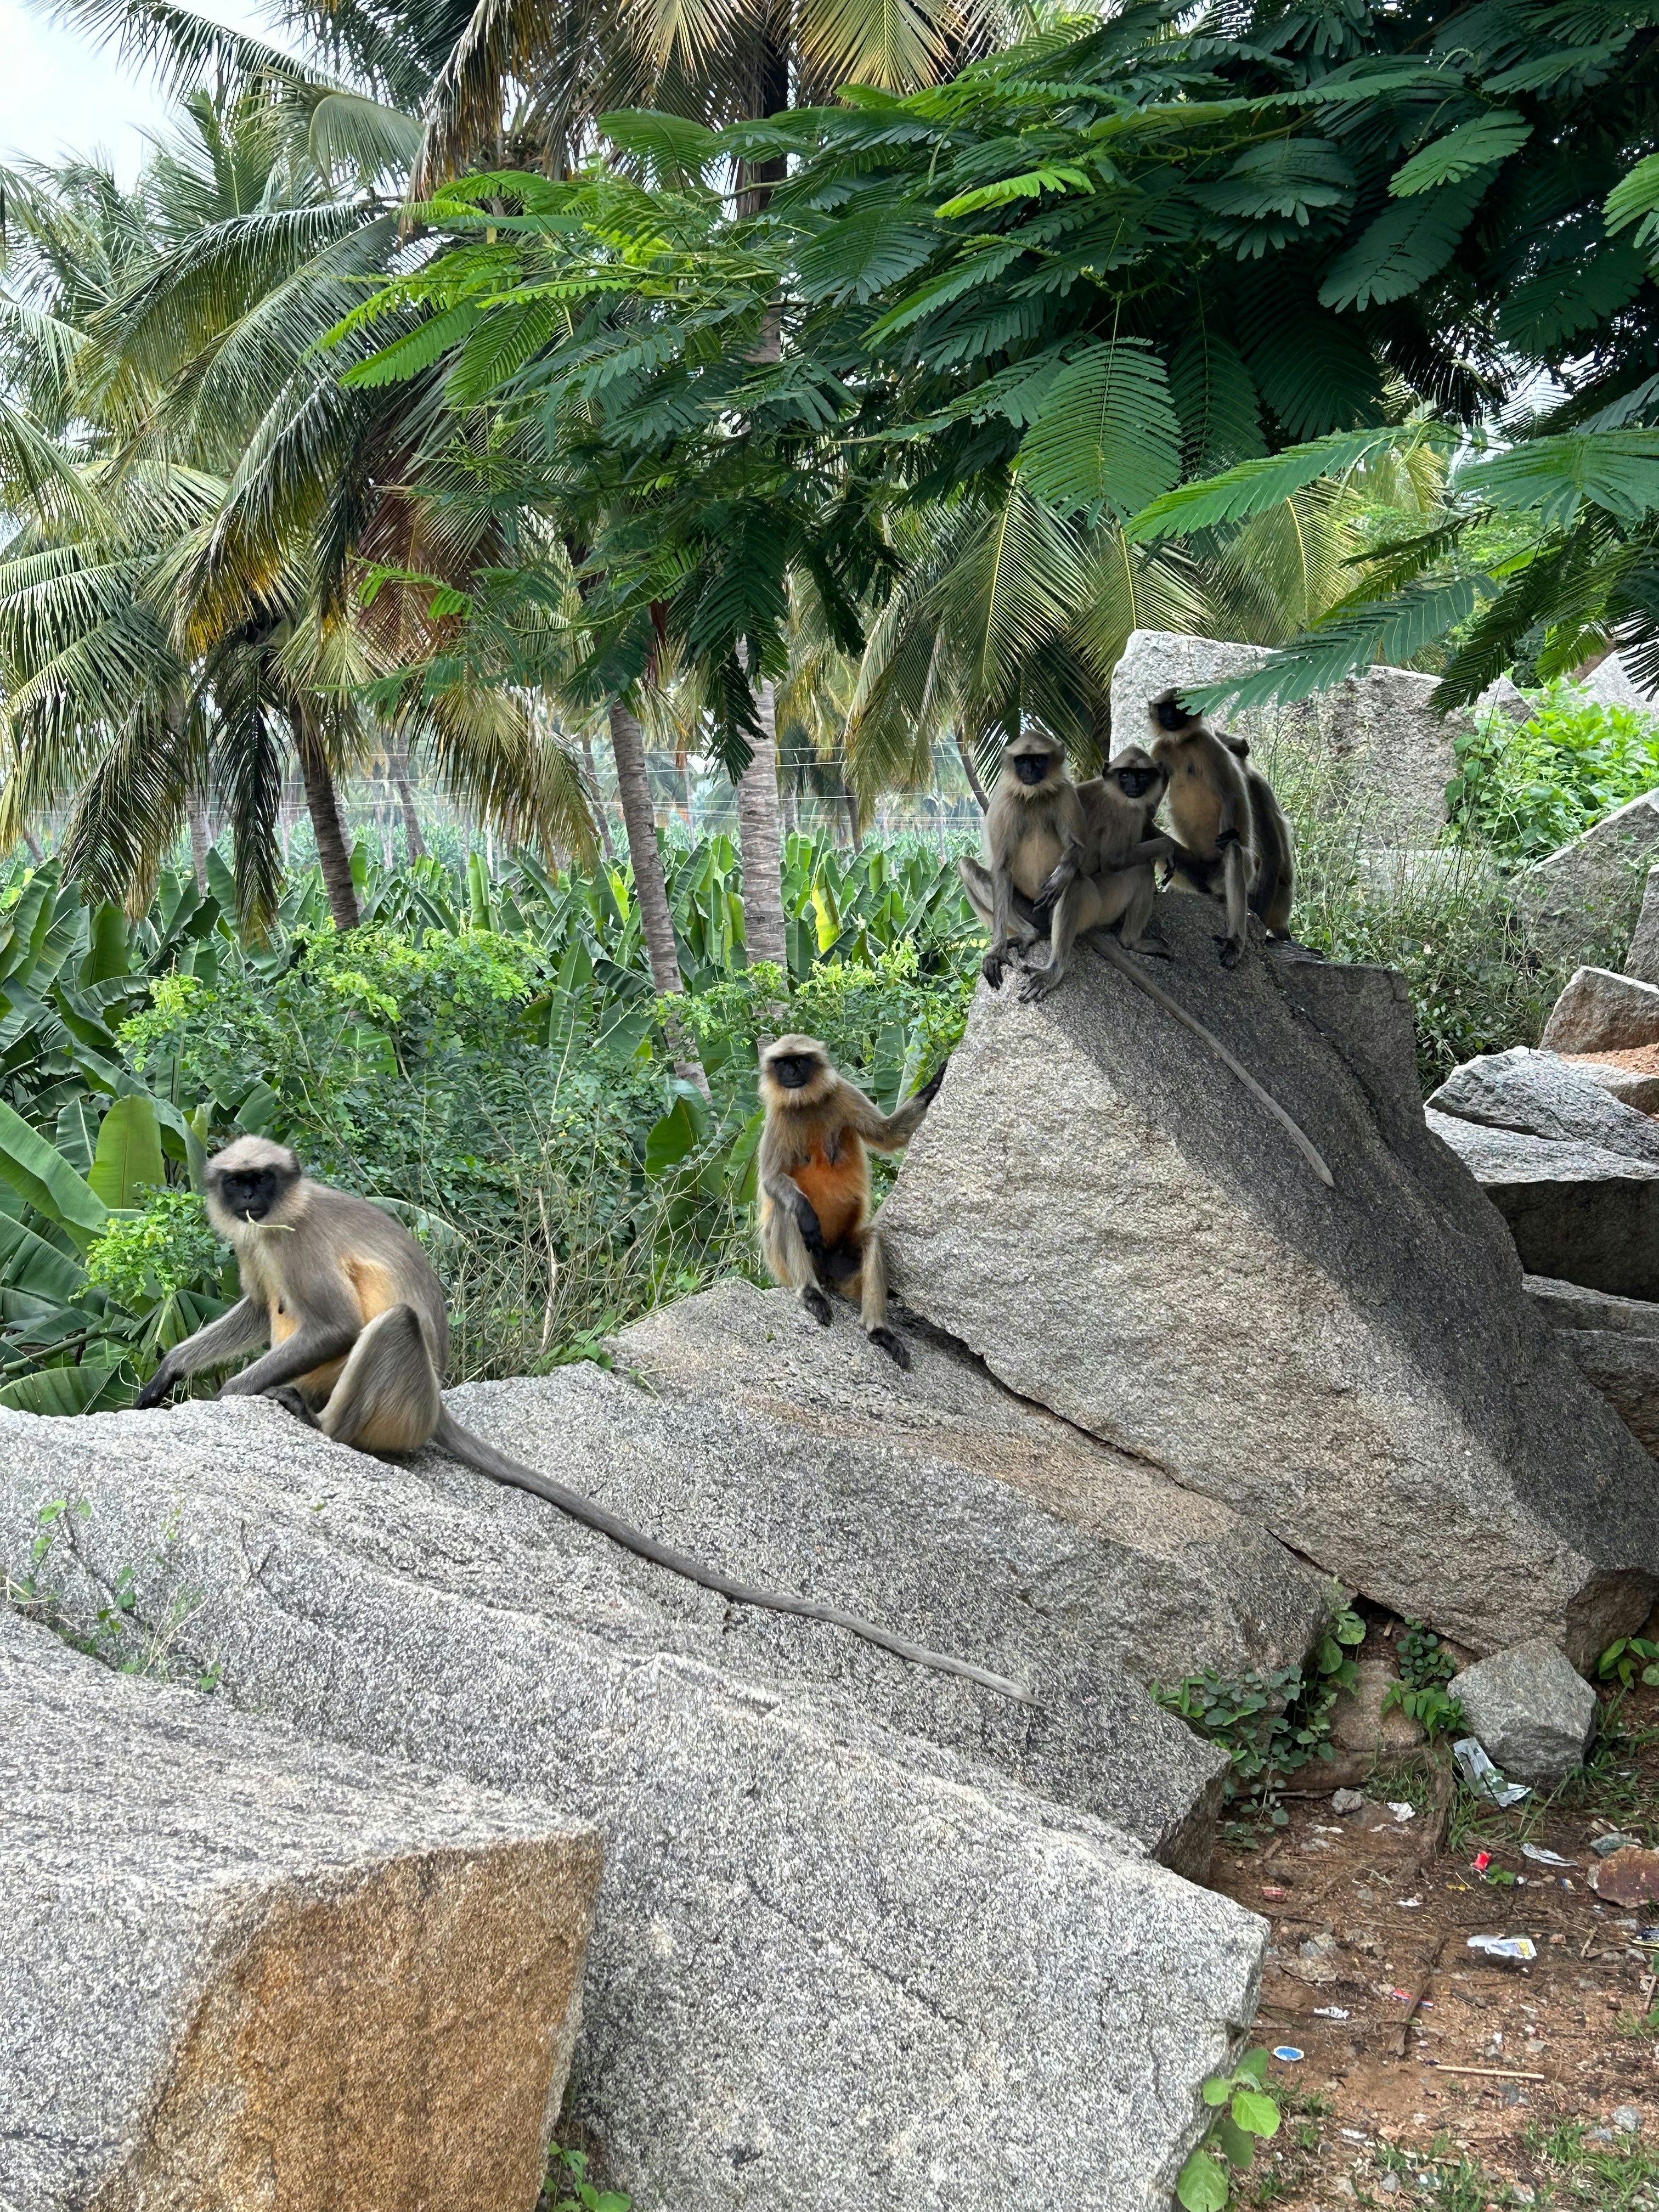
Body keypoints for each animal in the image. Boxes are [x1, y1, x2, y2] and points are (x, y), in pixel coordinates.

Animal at [132, 1136, 1034, 1704]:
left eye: (263, 1179)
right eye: (238, 1181)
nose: (251, 1202)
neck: (277, 1217)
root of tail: (439, 1404)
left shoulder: (295, 1236)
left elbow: (332, 1325)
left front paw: (225, 1397)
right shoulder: (259, 1246)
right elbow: (261, 1308)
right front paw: (168, 1374)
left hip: (399, 1393)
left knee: (388, 1328)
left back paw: (318, 1424)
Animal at [757, 1035, 944, 1371]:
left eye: (799, 1060)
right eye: (782, 1063)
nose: (790, 1072)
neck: (806, 1102)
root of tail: (828, 1279)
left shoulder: (843, 1091)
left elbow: (888, 1135)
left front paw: (935, 1083)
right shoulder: (776, 1116)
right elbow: (772, 1180)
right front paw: (806, 1214)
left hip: (842, 1259)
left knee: (872, 1241)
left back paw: (880, 1332)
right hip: (790, 1267)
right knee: (787, 1209)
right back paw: (811, 1294)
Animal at [1147, 689, 1261, 968]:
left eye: (1179, 706)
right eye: (1164, 708)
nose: (1170, 717)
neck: (1180, 743)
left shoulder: (1207, 744)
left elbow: (1231, 796)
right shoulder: (1160, 750)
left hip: (1233, 875)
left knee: (1233, 851)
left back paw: (1235, 942)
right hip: (1194, 874)